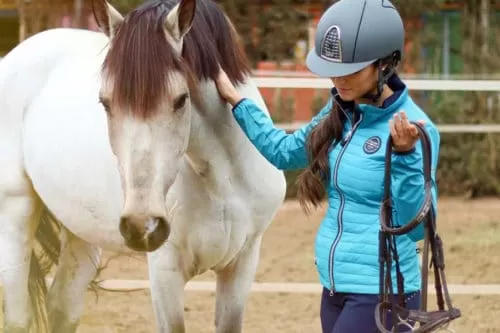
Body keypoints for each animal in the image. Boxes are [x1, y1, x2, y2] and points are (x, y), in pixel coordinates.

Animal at [0, 0, 288, 330]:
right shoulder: (165, 271)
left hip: (80, 234)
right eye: (105, 102)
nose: (142, 225)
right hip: (15, 214)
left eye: (181, 99)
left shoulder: (242, 263)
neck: (222, 180)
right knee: (18, 317)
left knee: (62, 307)